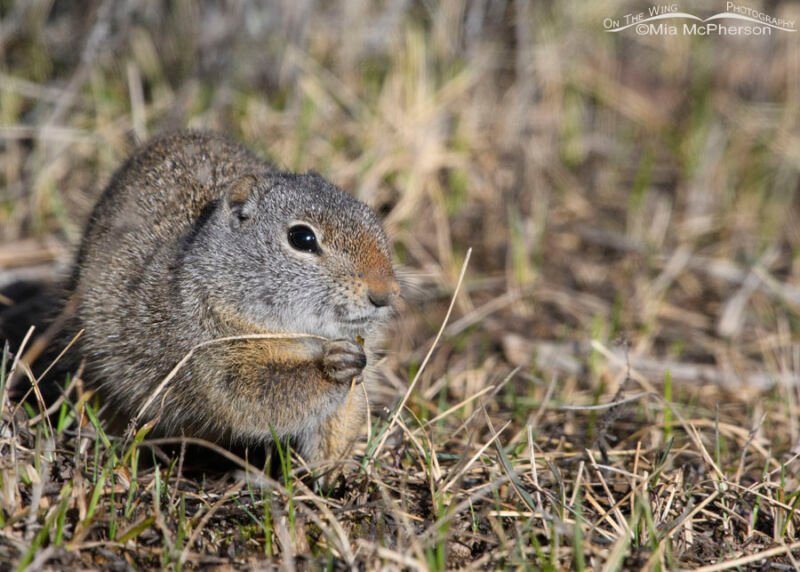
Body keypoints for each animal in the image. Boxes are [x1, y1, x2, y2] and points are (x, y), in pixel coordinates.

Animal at [50, 131, 398, 466]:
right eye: (302, 238)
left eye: (371, 217)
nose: (384, 293)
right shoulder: (210, 359)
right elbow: (259, 395)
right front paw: (333, 365)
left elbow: (339, 421)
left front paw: (332, 471)